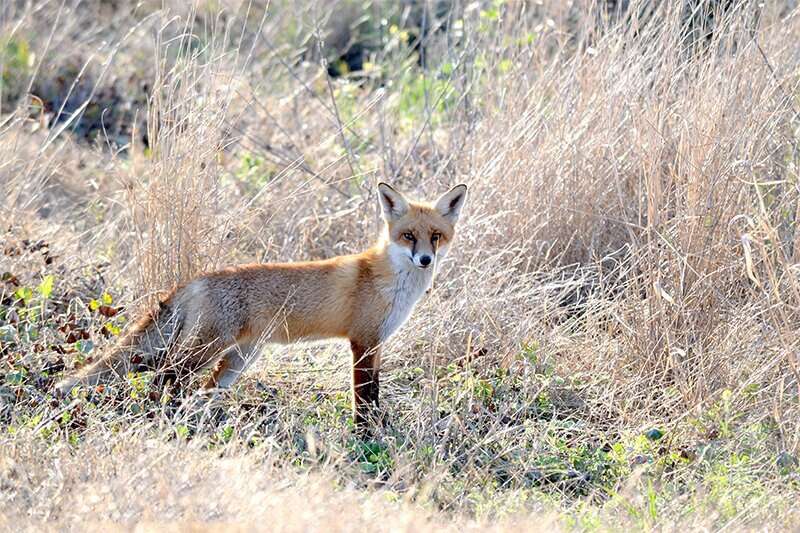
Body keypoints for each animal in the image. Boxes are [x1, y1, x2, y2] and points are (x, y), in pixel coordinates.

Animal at [55, 182, 467, 428]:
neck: (391, 282)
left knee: (200, 391)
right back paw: (161, 413)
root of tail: (194, 280)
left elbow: (375, 392)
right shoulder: (363, 342)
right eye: (408, 236)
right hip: (203, 350)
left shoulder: (377, 344)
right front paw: (366, 433)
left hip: (238, 359)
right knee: (165, 376)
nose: (425, 260)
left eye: (436, 237)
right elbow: (364, 397)